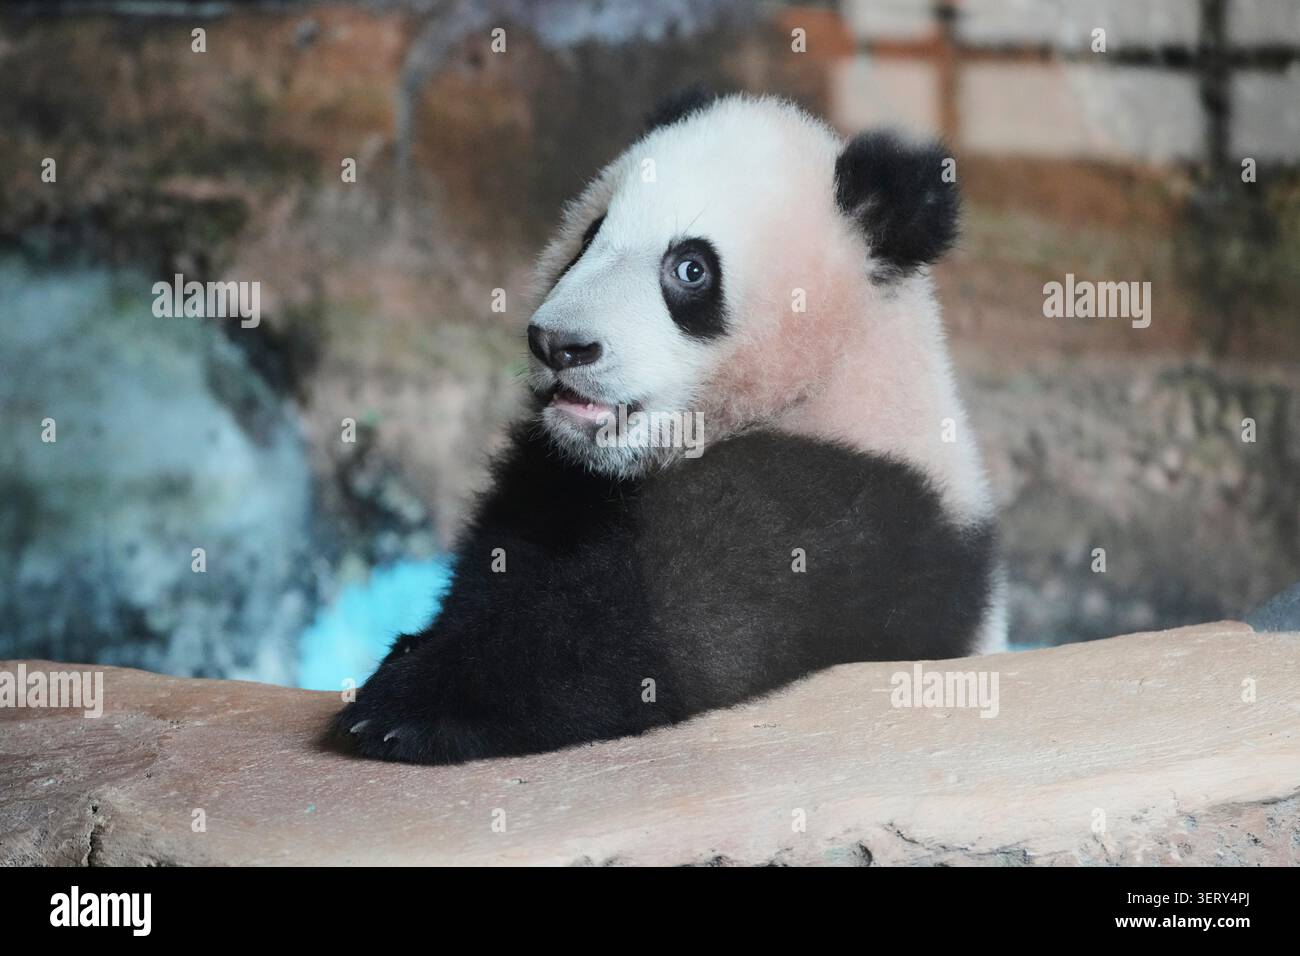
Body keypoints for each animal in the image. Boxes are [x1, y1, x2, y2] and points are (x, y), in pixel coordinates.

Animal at [332, 91, 1005, 764]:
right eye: (590, 234)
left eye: (690, 269)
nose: (559, 345)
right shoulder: (561, 475)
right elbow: (508, 549)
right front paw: (411, 651)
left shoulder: (853, 499)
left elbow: (683, 625)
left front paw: (409, 704)